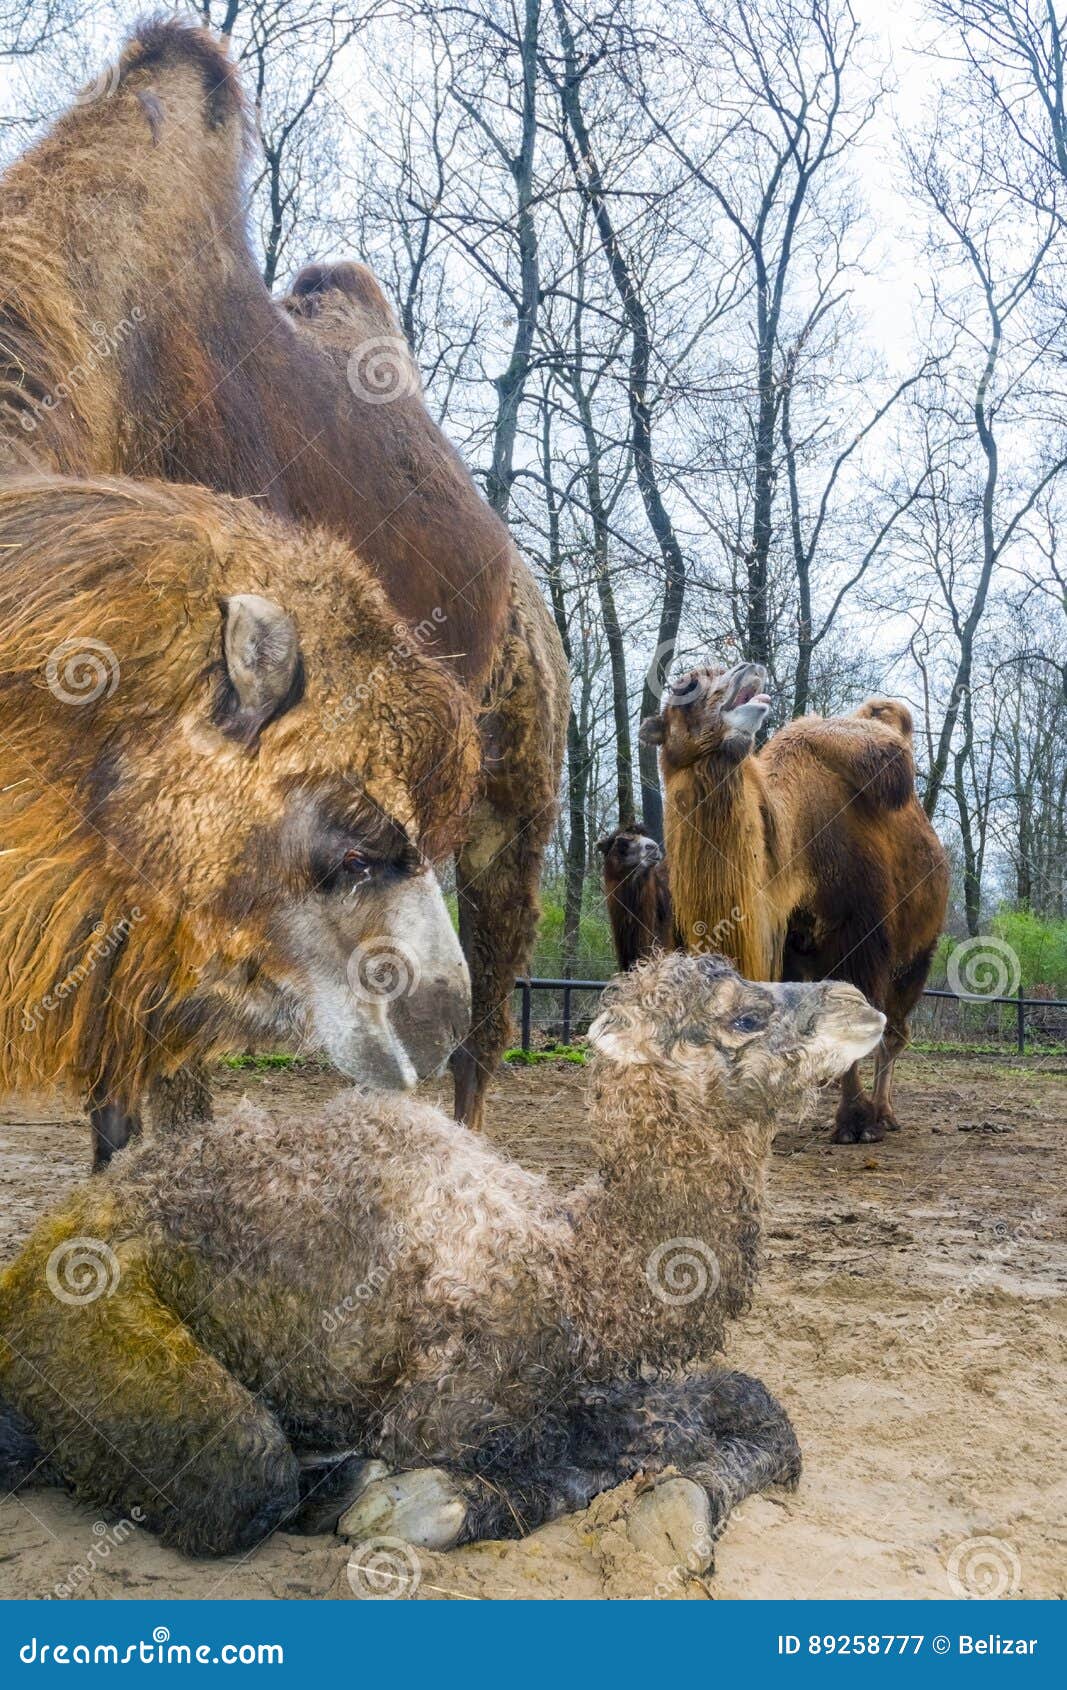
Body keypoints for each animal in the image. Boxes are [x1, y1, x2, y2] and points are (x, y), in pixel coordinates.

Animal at [0, 952, 885, 1557]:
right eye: (741, 1017)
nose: (859, 1002)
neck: (574, 1265)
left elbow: (730, 1400)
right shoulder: (444, 1399)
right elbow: (550, 1449)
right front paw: (425, 1502)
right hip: (81, 1320)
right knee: (243, 1479)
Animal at [642, 664, 949, 1143]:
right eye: (684, 684)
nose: (748, 669)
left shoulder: (859, 941)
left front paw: (855, 1123)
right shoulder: (786, 946)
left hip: (917, 953)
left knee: (895, 1031)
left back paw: (884, 1114)